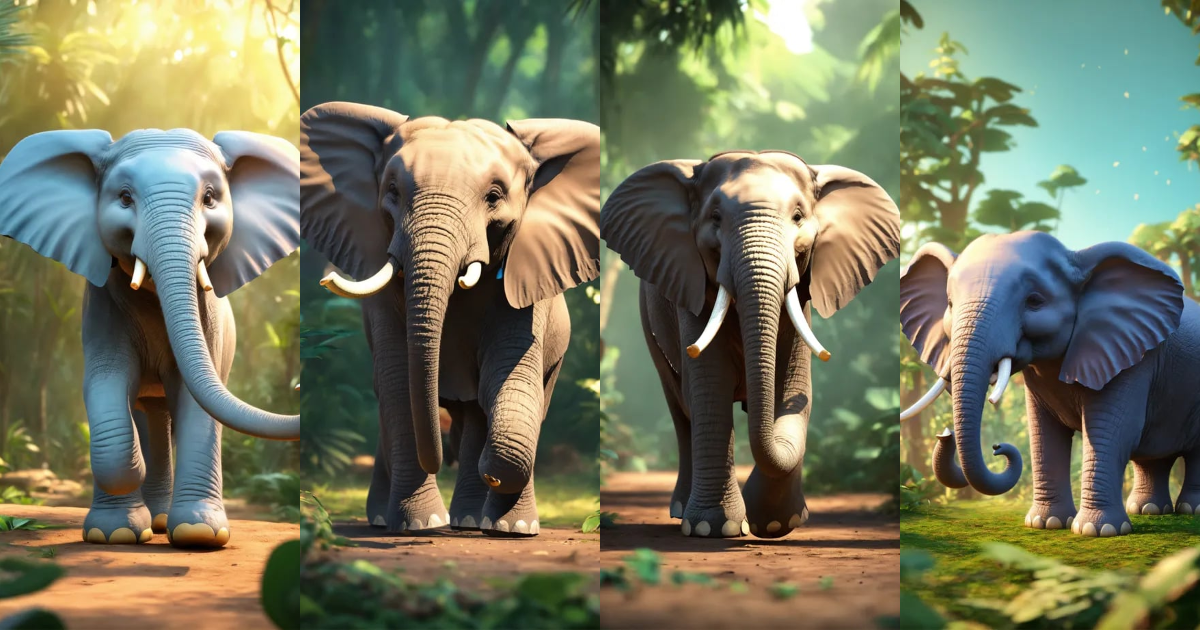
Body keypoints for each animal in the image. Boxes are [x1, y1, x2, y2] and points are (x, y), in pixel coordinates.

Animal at [0, 128, 301, 547]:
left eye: (210, 198)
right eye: (125, 198)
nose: (298, 386)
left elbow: (195, 398)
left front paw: (199, 535)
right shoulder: (102, 306)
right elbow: (107, 384)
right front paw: (113, 531)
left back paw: (160, 521)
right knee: (147, 414)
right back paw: (137, 525)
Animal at [299, 102, 599, 537]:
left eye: (494, 196)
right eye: (392, 192)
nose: (444, 456)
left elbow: (508, 383)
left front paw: (503, 509)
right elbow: (397, 382)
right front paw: (419, 524)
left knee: (493, 408)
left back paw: (488, 523)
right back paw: (395, 519)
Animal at [600, 151, 900, 538]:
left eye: (798, 217)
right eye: (715, 218)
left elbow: (790, 387)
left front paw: (776, 523)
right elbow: (710, 388)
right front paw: (713, 528)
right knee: (680, 406)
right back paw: (682, 513)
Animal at [900, 231, 1200, 537]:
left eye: (1034, 301)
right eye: (949, 304)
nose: (944, 433)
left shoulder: (1132, 357)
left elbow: (1117, 431)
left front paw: (1097, 530)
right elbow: (1044, 434)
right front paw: (1047, 524)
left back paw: (1190, 509)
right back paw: (1148, 509)